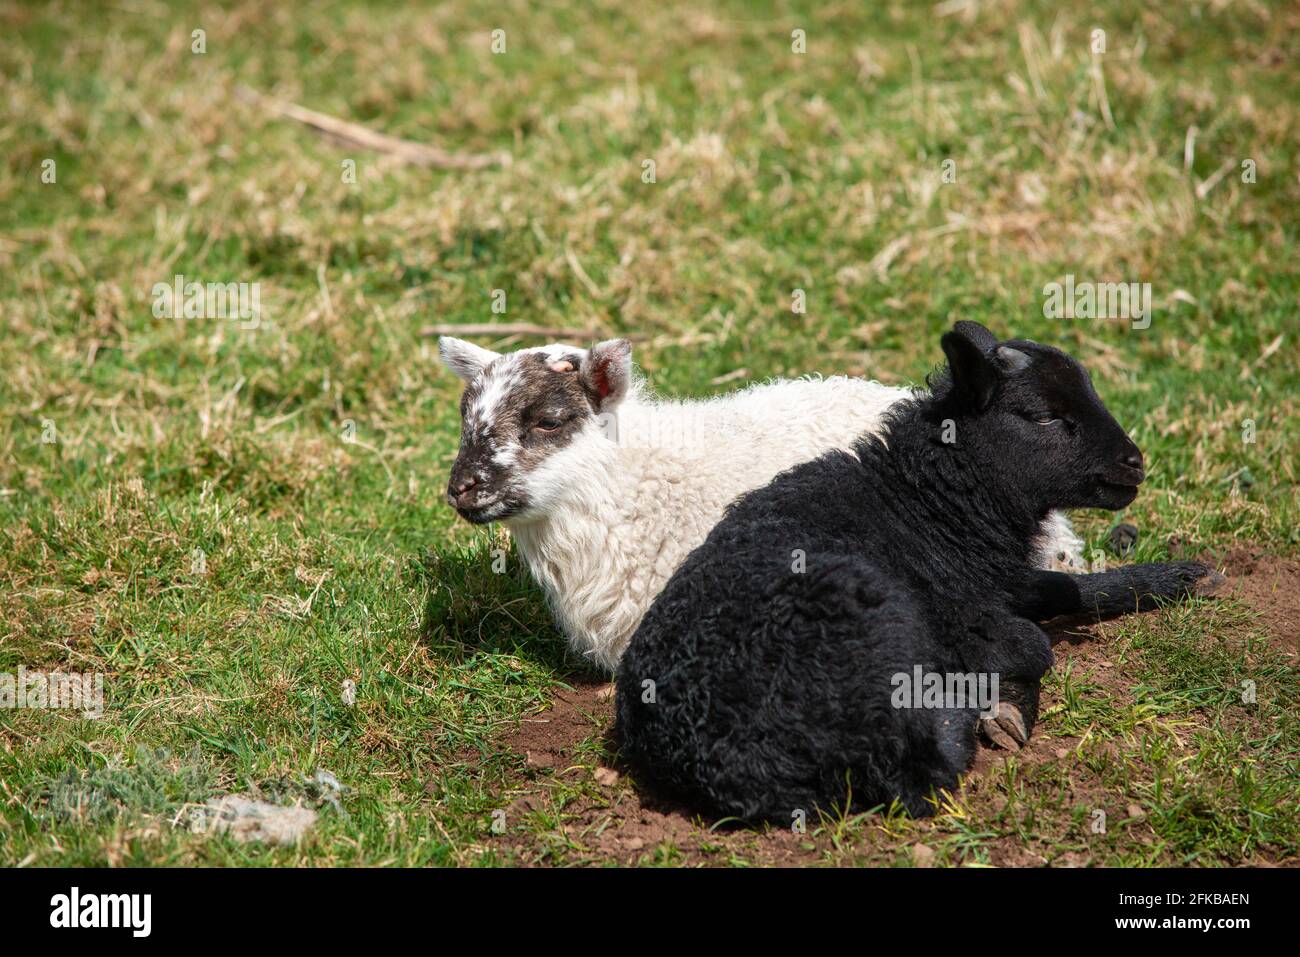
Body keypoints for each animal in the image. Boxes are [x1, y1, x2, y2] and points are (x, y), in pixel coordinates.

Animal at [614, 321, 1224, 822]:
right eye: (1044, 414)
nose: (1134, 463)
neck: (924, 502)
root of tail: (731, 768)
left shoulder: (997, 583)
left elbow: (1062, 588)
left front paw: (1182, 578)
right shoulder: (964, 610)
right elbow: (1031, 643)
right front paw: (1008, 706)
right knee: (924, 774)